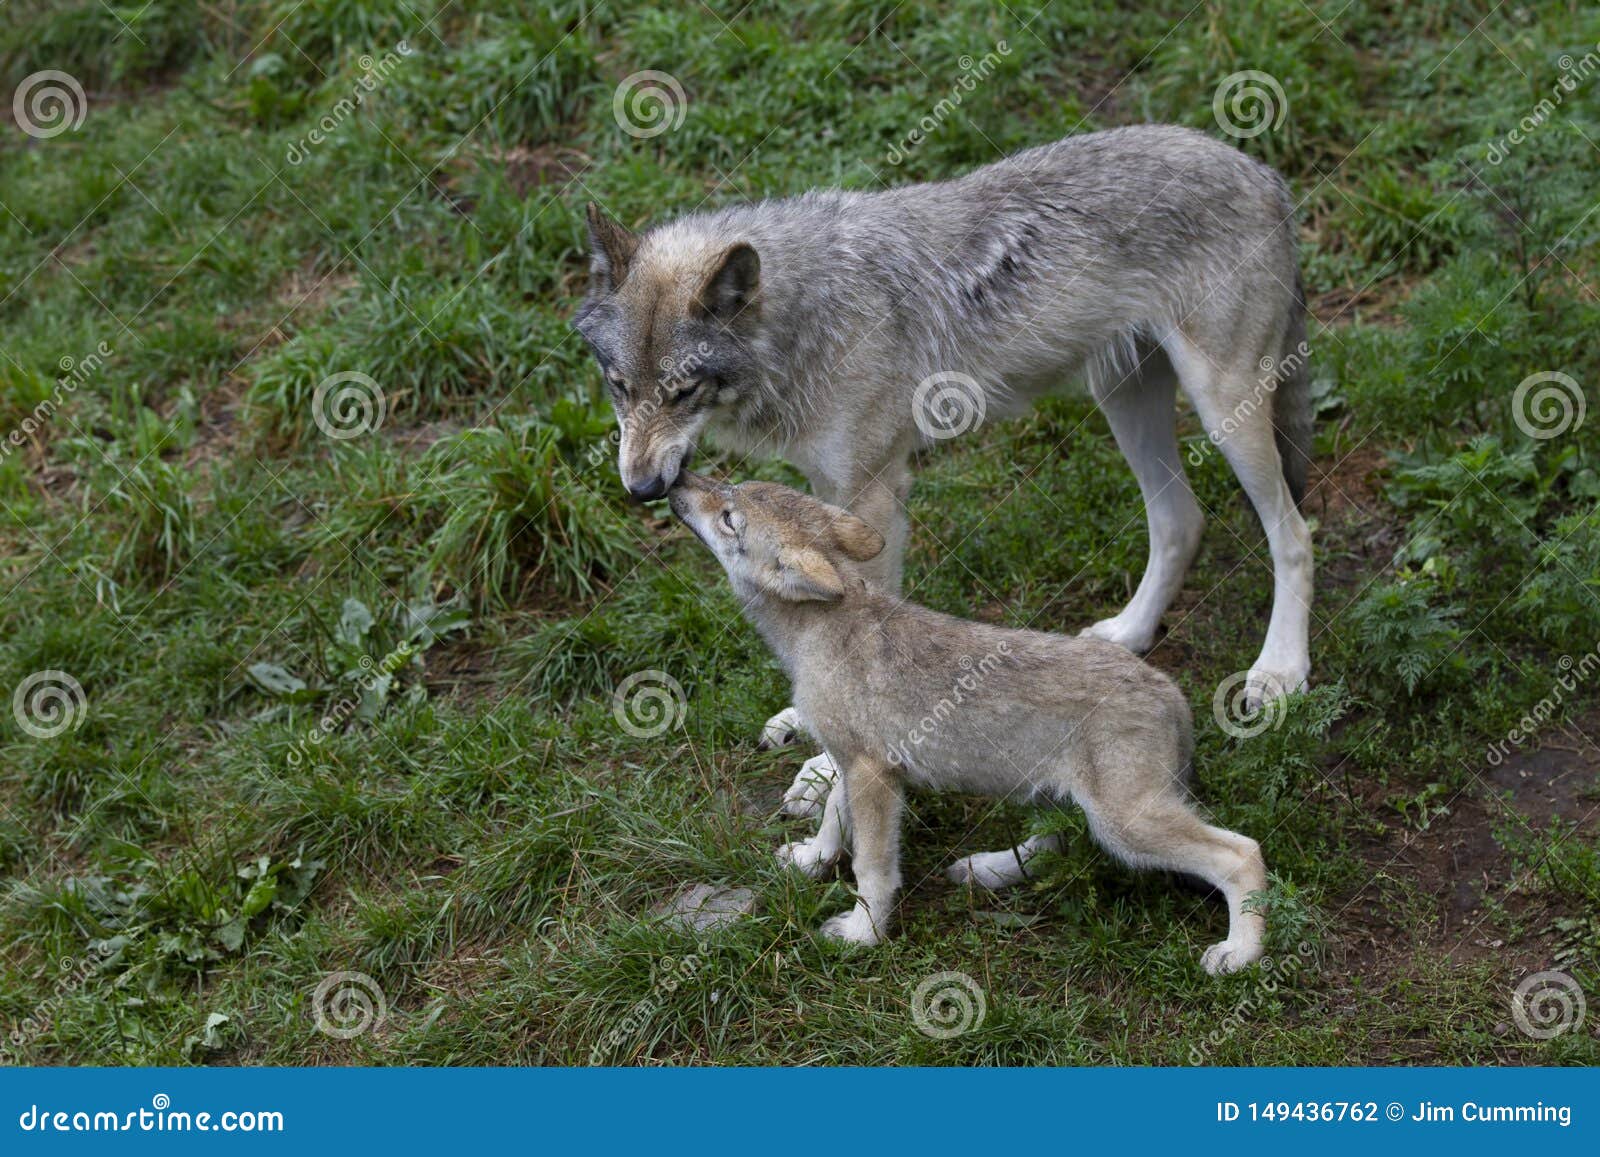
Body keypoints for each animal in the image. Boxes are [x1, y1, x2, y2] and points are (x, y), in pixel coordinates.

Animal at [575, 124, 1312, 796]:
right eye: (620, 386)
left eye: (683, 391)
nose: (642, 488)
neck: (804, 322)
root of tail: (1264, 171)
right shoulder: (828, 484)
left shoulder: (874, 490)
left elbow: (859, 624)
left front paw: (826, 769)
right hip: (1124, 400)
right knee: (1182, 519)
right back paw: (1128, 632)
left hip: (1224, 410)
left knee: (1294, 533)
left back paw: (1280, 671)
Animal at [668, 469, 1268, 973]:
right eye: (730, 487)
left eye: (729, 517)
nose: (676, 480)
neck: (818, 630)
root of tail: (1170, 691)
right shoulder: (850, 762)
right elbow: (833, 827)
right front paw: (809, 863)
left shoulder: (873, 775)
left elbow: (871, 869)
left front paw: (863, 935)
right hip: (1062, 795)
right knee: (1056, 843)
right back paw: (985, 870)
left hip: (1125, 823)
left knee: (1243, 853)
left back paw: (1240, 953)